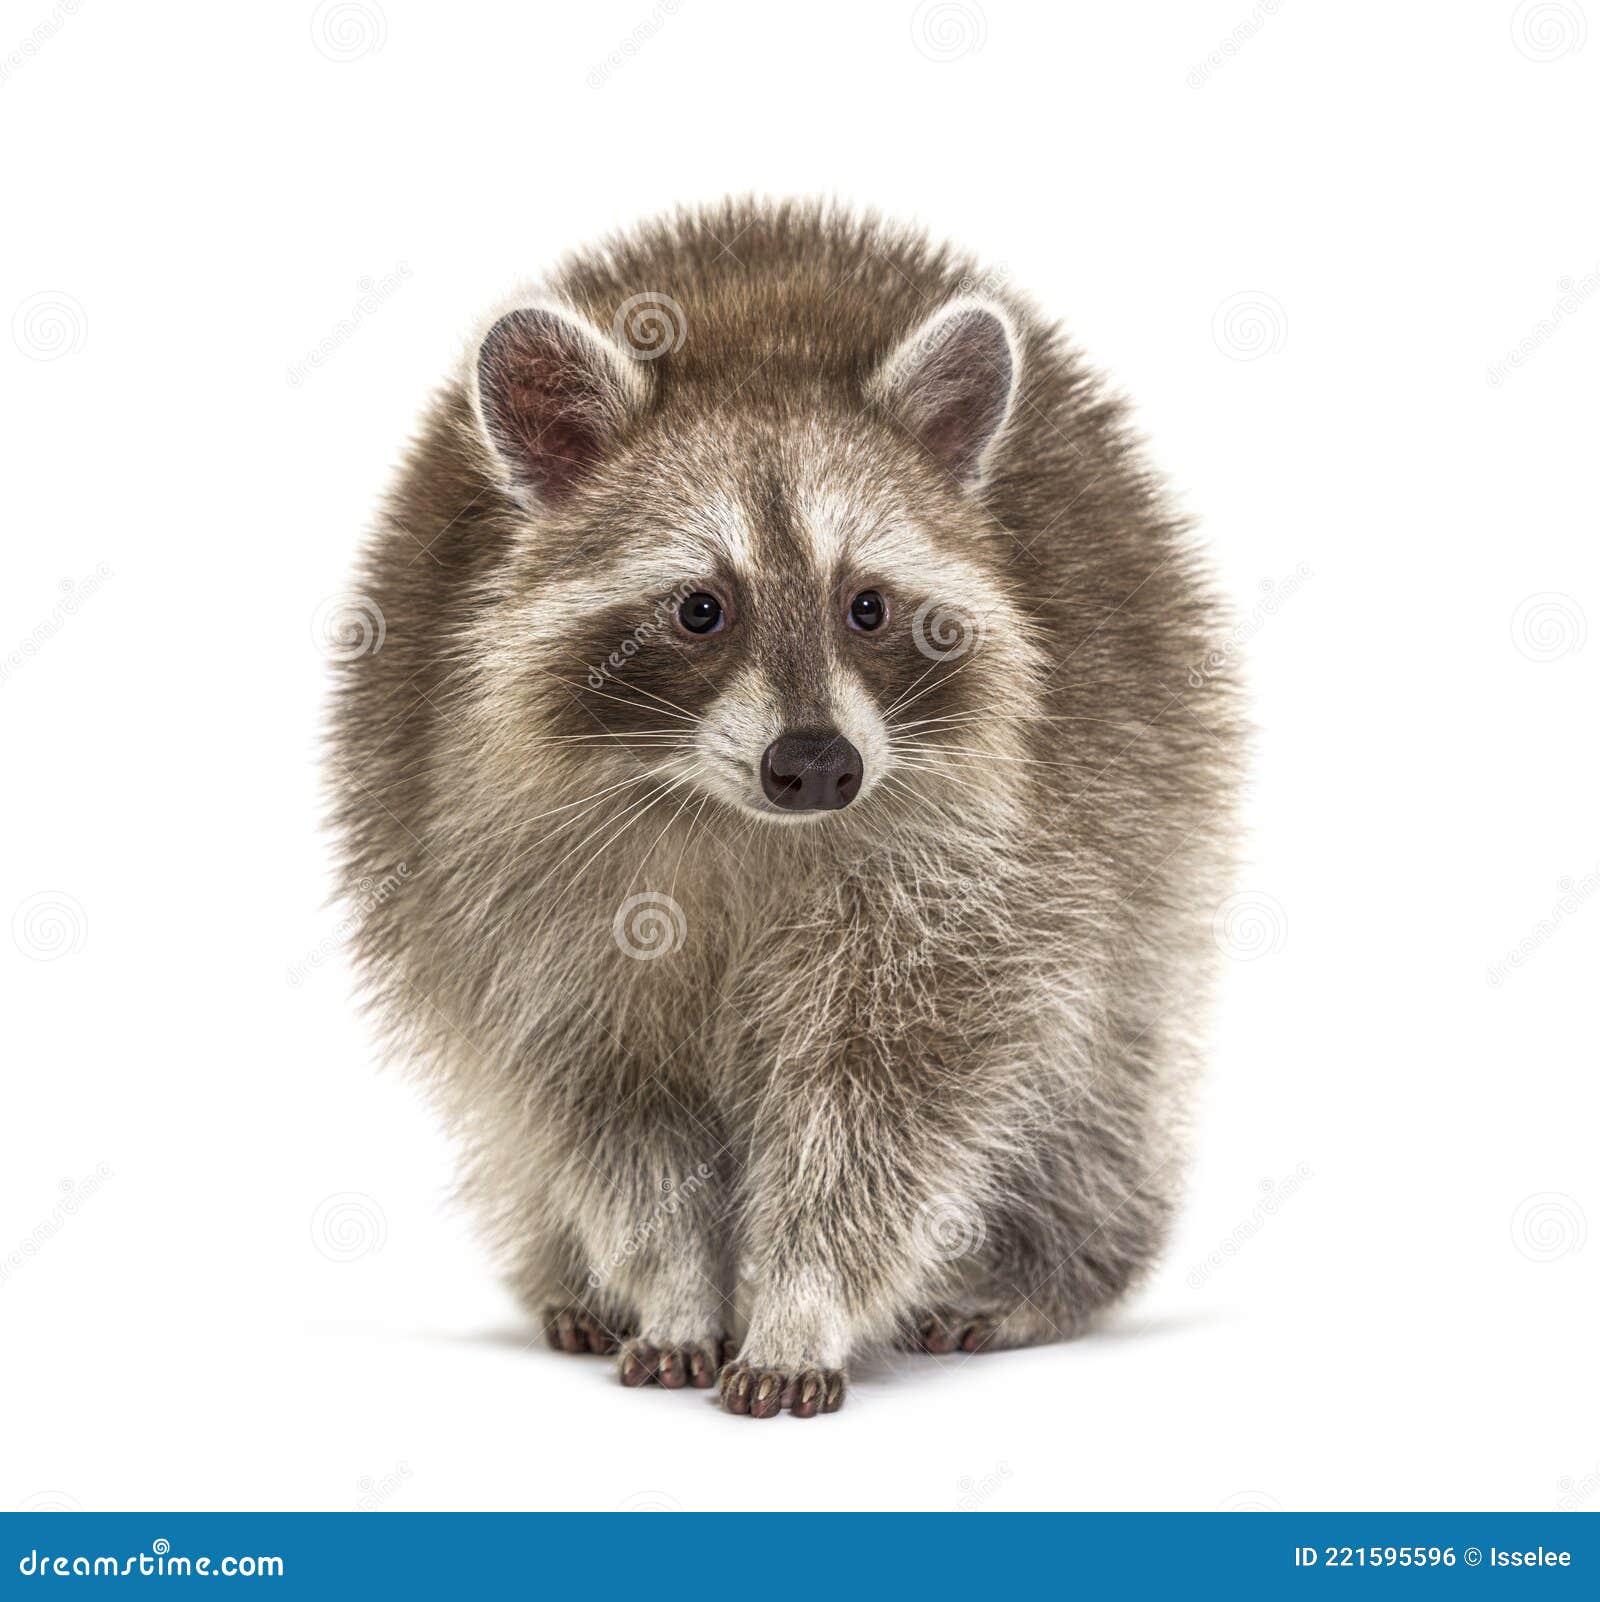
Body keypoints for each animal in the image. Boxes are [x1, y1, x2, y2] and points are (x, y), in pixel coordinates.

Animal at [329, 200, 1241, 1418]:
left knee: (1096, 1075)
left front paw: (800, 1305)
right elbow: (610, 1110)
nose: (815, 765)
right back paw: (574, 1280)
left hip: (1148, 827)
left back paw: (1048, 1267)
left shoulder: (995, 858)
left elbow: (883, 1107)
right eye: (700, 609)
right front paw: (672, 1291)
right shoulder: (509, 883)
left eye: (868, 606)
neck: (740, 820)